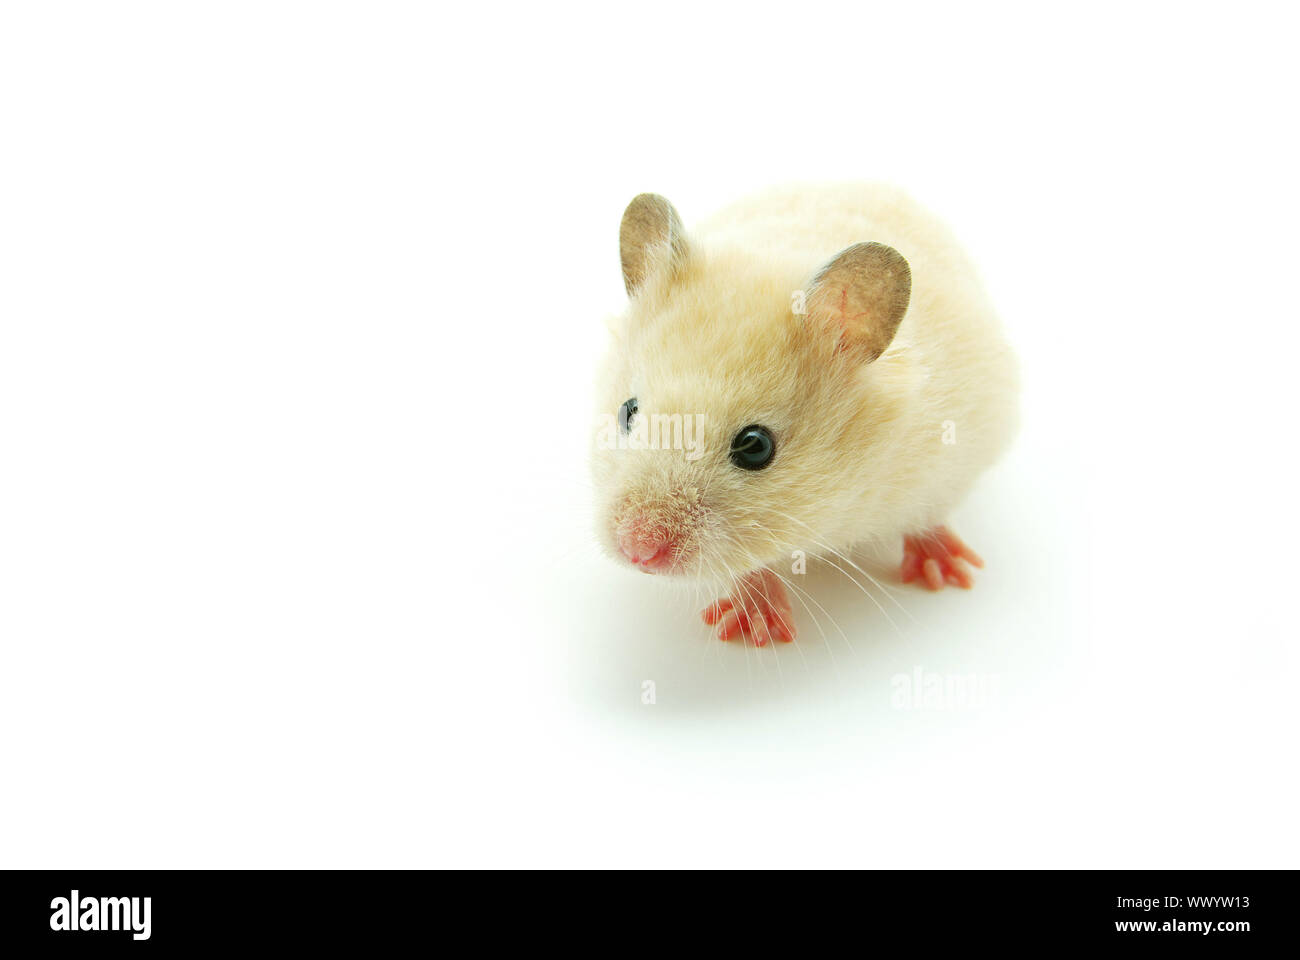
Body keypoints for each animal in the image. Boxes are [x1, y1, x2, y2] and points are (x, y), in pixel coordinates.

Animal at [592, 184, 1018, 645]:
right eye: (628, 413)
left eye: (756, 446)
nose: (637, 550)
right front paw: (751, 629)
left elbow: (929, 517)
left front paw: (947, 575)